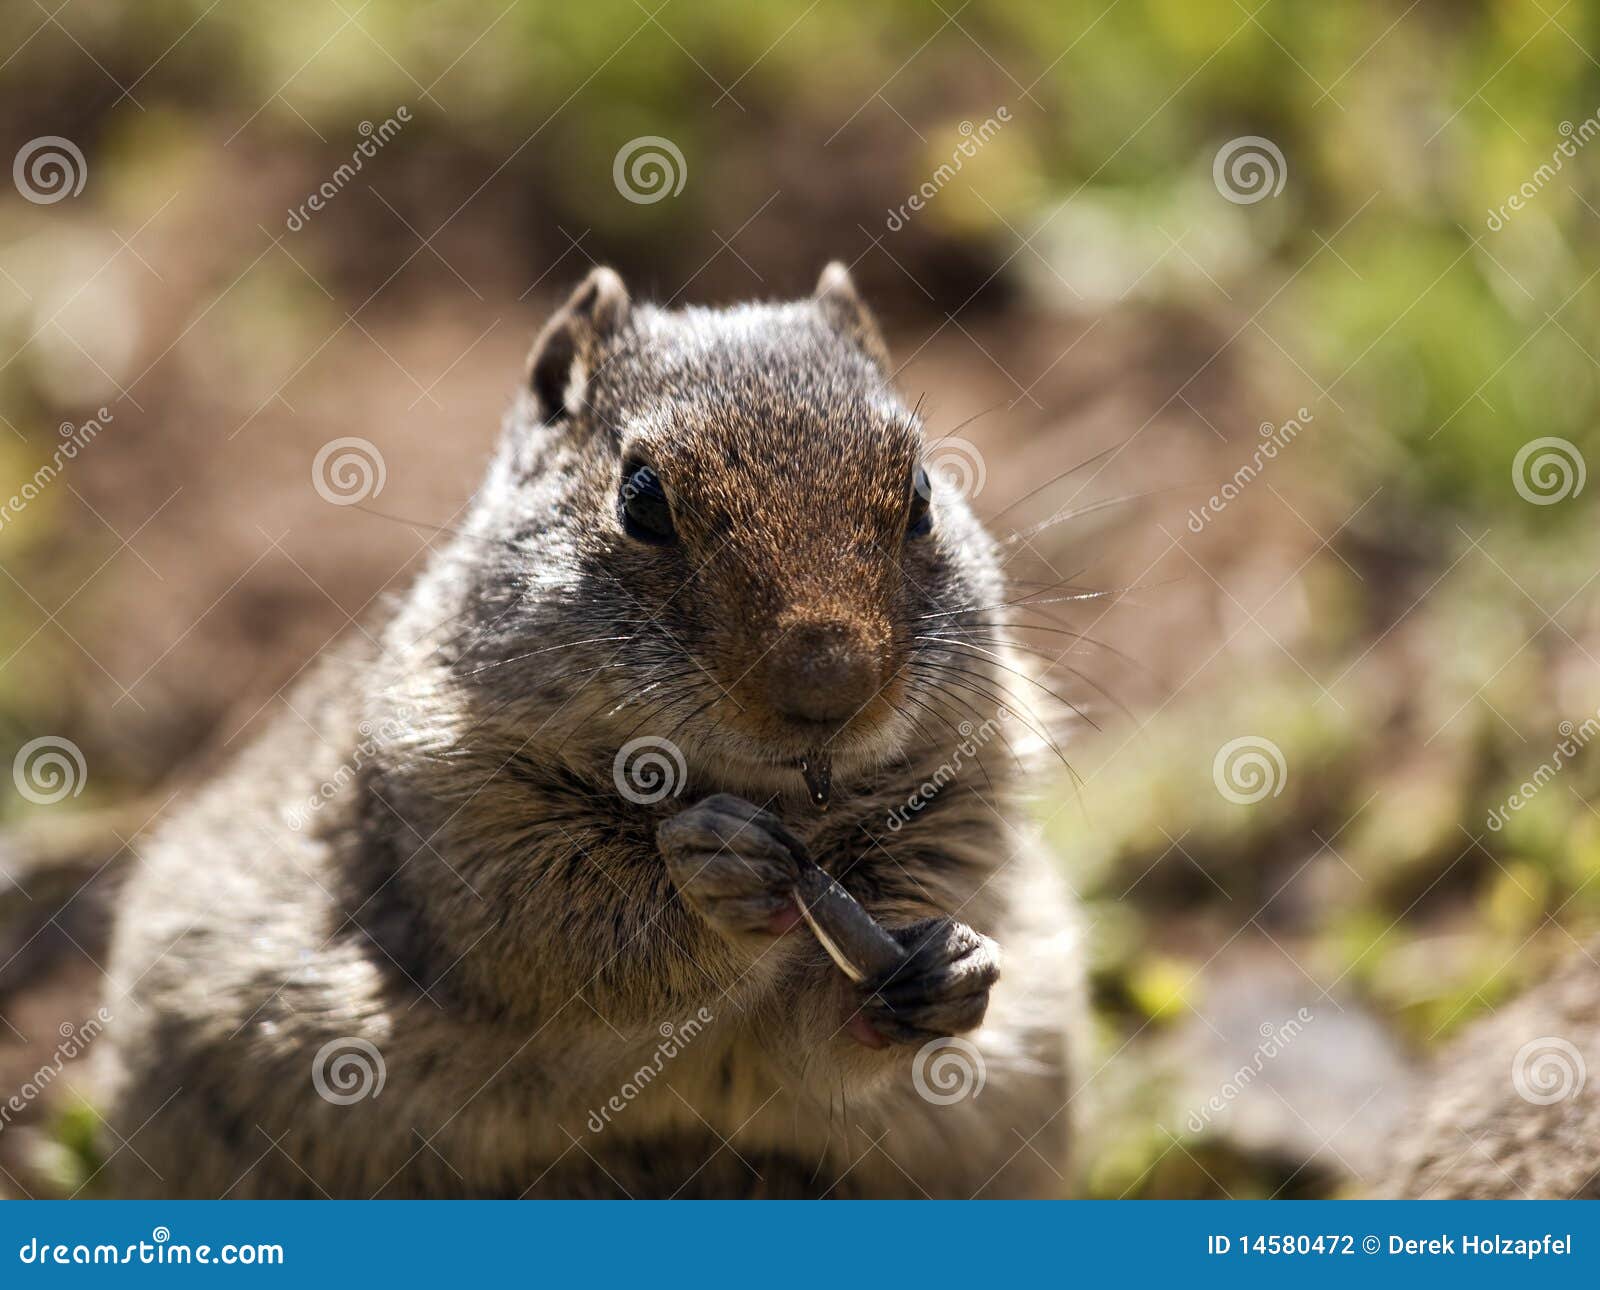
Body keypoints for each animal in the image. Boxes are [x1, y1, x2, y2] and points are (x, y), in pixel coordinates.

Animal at [98, 264, 1084, 1198]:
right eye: (641, 498)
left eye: (922, 493)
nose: (831, 684)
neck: (782, 803)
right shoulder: (459, 803)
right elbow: (560, 923)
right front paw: (711, 875)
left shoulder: (959, 802)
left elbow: (816, 1039)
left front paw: (952, 971)